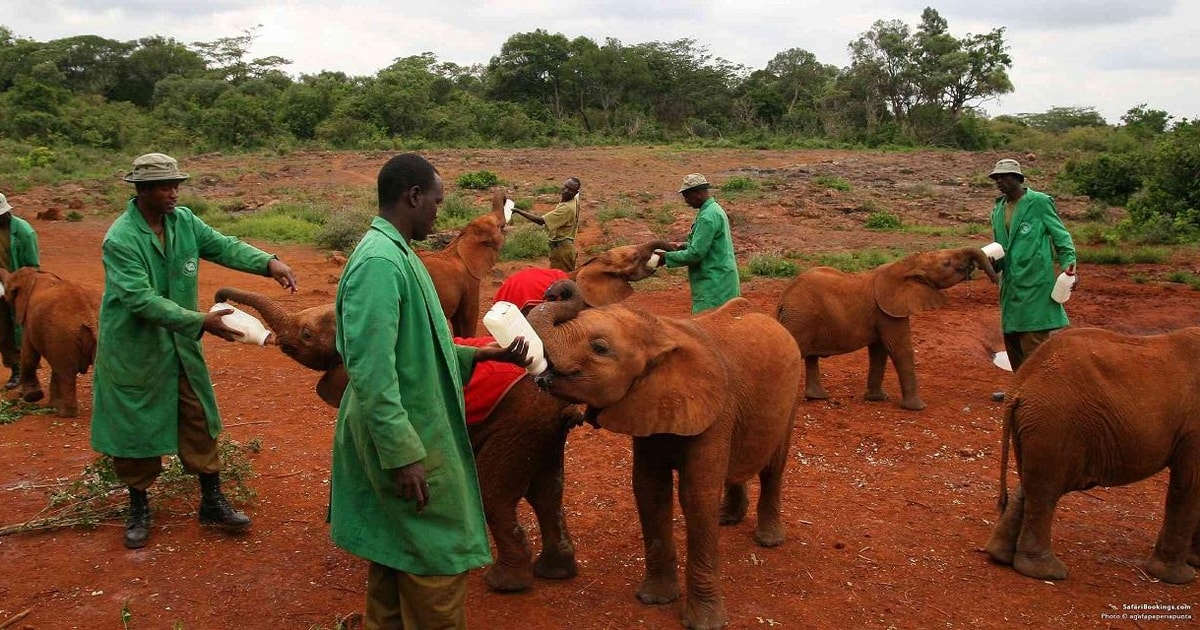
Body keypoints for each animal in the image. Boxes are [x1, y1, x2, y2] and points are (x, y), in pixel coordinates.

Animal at [0, 268, 100, 417]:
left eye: (9, 290)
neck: (36, 275)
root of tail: (89, 317)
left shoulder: (29, 321)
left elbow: (29, 354)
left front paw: (32, 397)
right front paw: (50, 404)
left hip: (63, 334)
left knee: (66, 373)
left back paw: (64, 414)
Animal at [418, 189, 508, 337]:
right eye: (498, 226)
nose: (506, 199)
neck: (463, 237)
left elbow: (457, 320)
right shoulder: (469, 279)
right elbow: (468, 316)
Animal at [527, 282, 802, 630]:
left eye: (600, 348)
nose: (556, 289)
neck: (662, 331)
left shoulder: (716, 411)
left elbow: (696, 496)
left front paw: (704, 623)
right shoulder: (647, 405)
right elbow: (650, 489)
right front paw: (654, 599)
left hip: (791, 392)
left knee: (774, 465)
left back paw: (769, 539)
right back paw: (727, 518)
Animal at [776, 246, 997, 410]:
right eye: (946, 263)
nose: (994, 273)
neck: (905, 265)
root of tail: (783, 300)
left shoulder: (881, 313)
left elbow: (879, 351)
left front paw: (876, 398)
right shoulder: (889, 311)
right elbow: (899, 348)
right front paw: (917, 408)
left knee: (811, 357)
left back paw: (818, 397)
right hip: (801, 318)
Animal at [985, 327, 1200, 585]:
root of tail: (1020, 383)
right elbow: (1189, 485)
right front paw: (1179, 577)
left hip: (1040, 425)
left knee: (1031, 483)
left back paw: (1001, 556)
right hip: (1055, 423)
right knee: (1046, 489)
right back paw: (1046, 571)